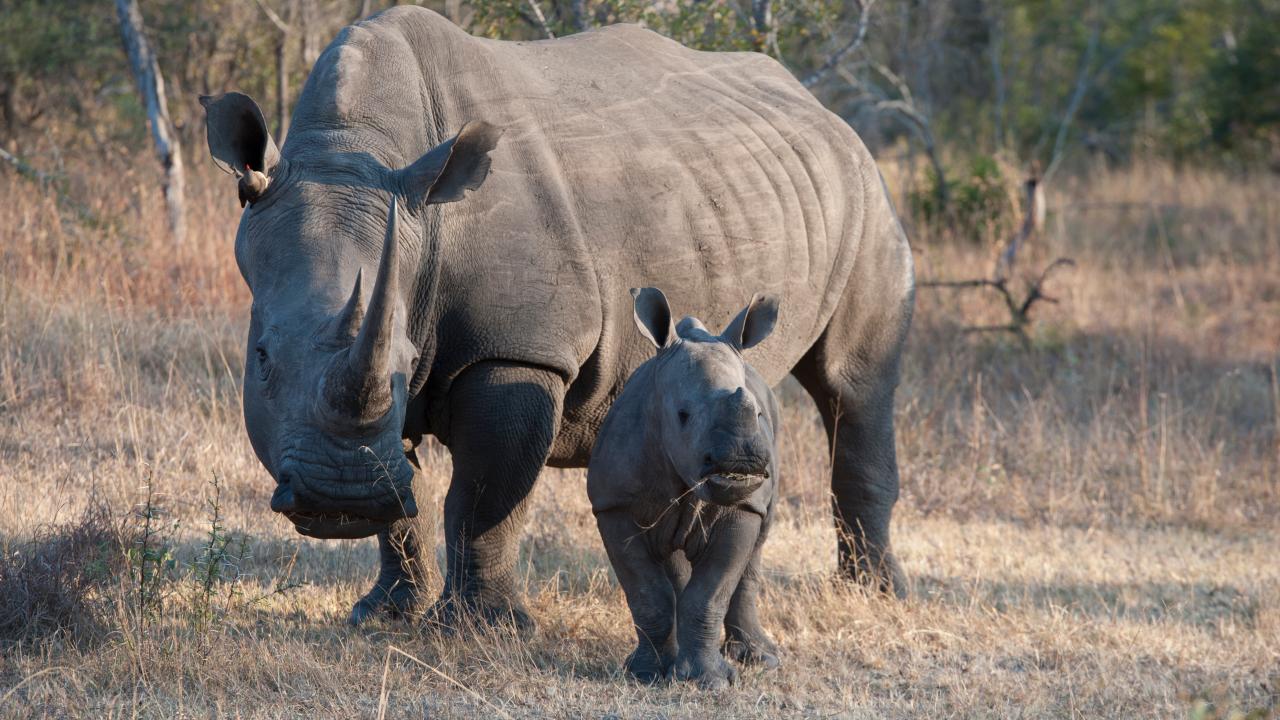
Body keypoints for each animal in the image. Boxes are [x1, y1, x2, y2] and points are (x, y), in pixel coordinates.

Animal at [200, 6, 915, 628]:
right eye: (262, 359)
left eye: (407, 359)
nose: (337, 501)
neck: (354, 150)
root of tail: (821, 109)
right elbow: (403, 499)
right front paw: (384, 614)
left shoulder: (520, 350)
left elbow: (484, 496)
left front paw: (481, 629)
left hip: (866, 190)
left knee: (852, 388)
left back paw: (877, 596)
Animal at [589, 288, 782, 689]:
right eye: (682, 415)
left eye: (756, 414)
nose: (741, 461)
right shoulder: (613, 505)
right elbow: (648, 594)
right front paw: (645, 674)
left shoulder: (742, 506)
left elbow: (709, 595)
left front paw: (710, 681)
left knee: (755, 548)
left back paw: (763, 660)